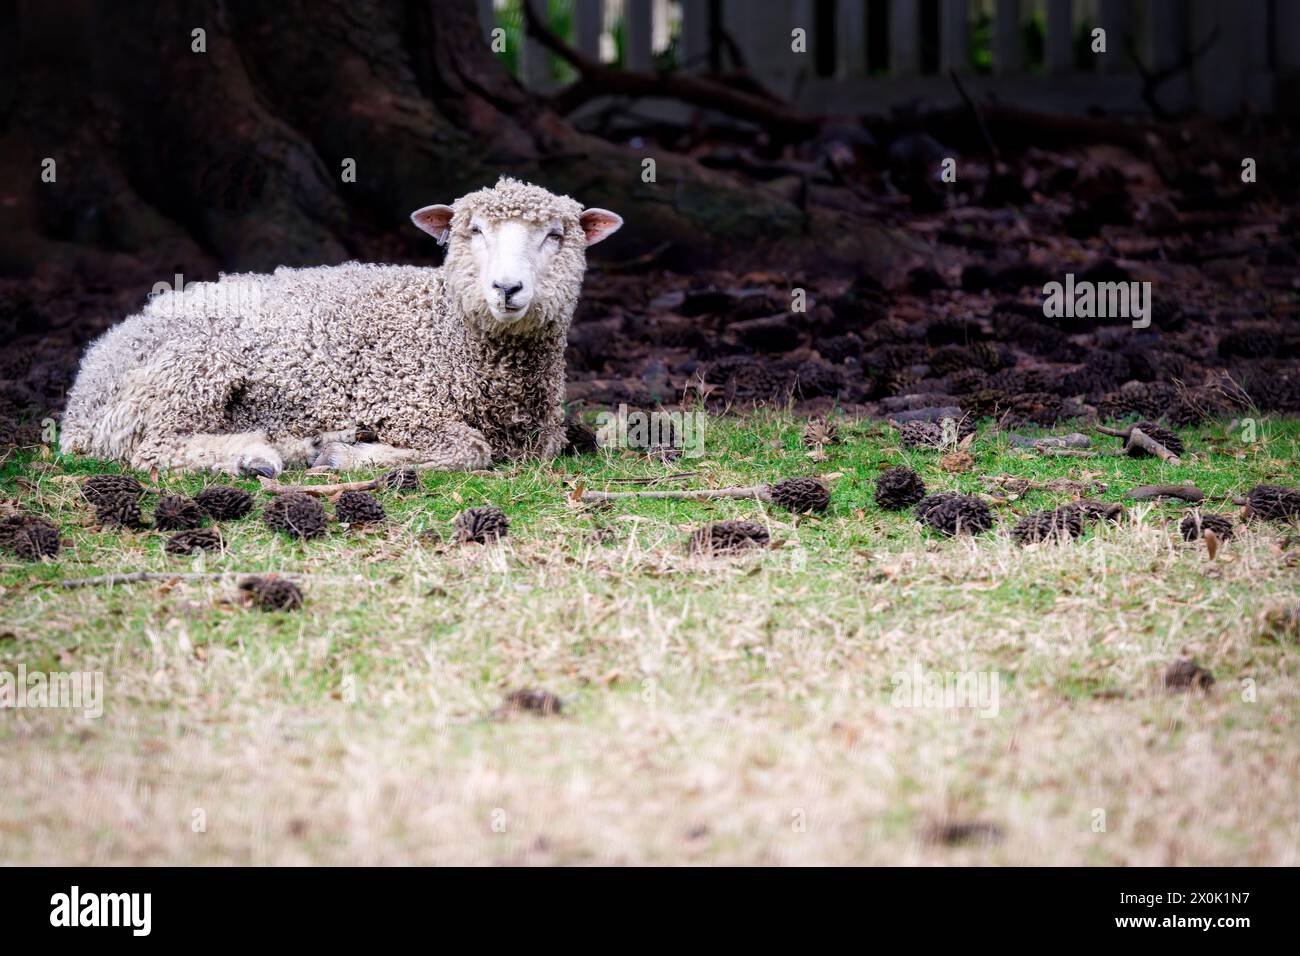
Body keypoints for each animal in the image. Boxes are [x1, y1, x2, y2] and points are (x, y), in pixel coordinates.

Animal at [58, 178, 623, 476]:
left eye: (555, 236)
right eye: (475, 232)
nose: (507, 288)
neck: (447, 335)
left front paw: (338, 449)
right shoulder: (403, 404)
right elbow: (469, 449)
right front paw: (353, 455)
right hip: (191, 364)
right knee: (154, 447)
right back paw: (256, 456)